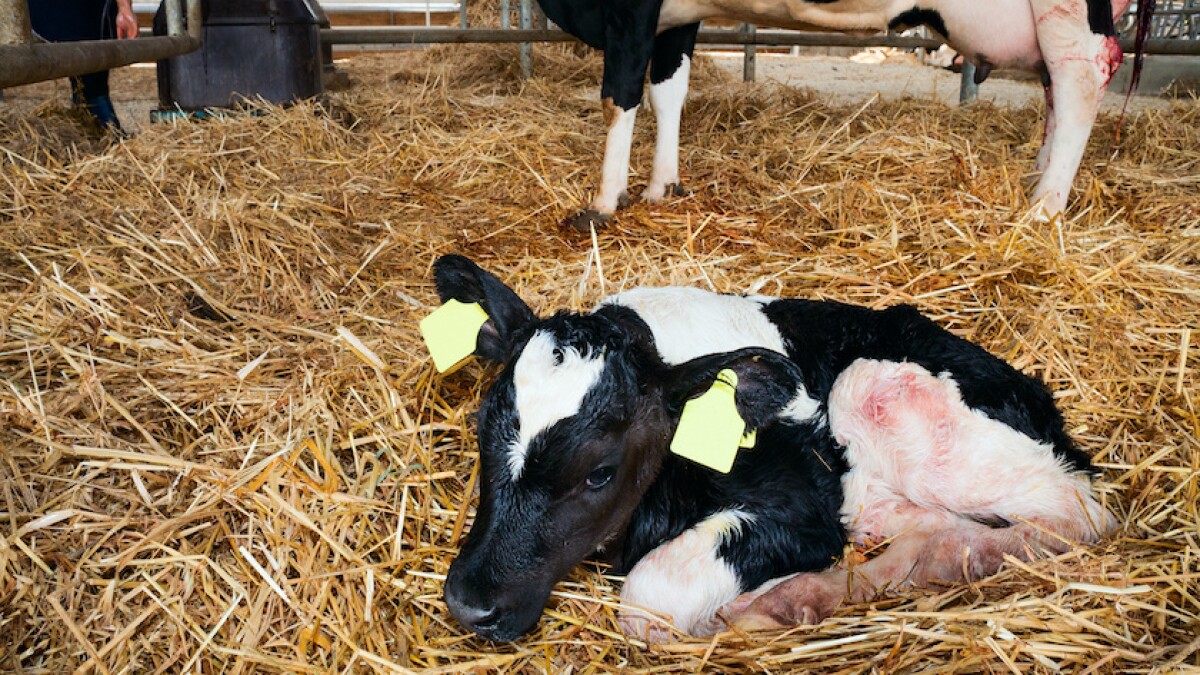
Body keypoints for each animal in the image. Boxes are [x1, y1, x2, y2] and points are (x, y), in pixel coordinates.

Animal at [432, 254, 1116, 642]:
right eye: (481, 430)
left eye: (600, 472)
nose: (470, 606)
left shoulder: (805, 507)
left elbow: (651, 597)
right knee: (925, 532)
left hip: (874, 387)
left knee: (1075, 518)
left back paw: (781, 601)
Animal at [535, 0, 1156, 228]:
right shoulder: (674, 18)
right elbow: (668, 91)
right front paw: (662, 186)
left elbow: (619, 95)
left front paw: (603, 201)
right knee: (1056, 88)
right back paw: (1036, 180)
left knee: (1081, 75)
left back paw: (1043, 207)